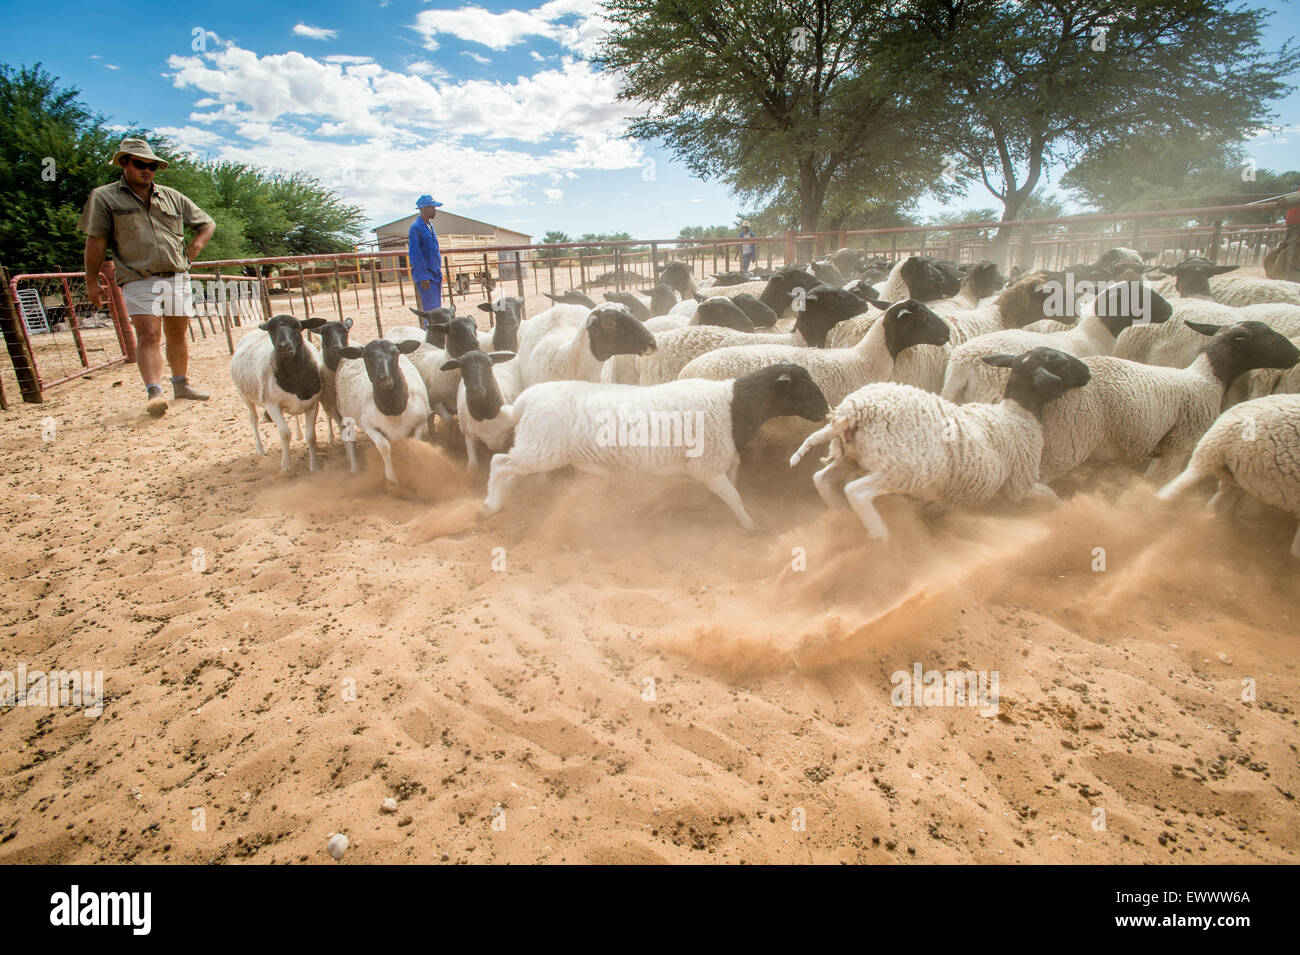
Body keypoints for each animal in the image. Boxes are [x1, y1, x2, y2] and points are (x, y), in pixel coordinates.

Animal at [230, 314, 329, 473]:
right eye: (271, 329)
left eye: (298, 327)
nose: (283, 347)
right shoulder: (272, 405)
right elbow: (284, 433)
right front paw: (286, 467)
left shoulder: (313, 404)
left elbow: (311, 436)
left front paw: (314, 466)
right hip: (243, 395)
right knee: (253, 419)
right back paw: (260, 448)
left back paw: (299, 434)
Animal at [334, 338, 430, 483]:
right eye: (365, 356)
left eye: (395, 353)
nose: (382, 378)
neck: (393, 410)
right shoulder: (370, 427)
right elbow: (384, 447)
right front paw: (392, 479)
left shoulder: (420, 421)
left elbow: (413, 445)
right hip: (345, 413)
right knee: (349, 438)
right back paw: (354, 468)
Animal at [481, 362, 830, 530]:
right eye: (802, 387)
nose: (827, 410)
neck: (733, 406)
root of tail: (527, 399)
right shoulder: (707, 467)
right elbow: (734, 497)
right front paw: (750, 526)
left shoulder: (726, 463)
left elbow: (734, 493)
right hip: (542, 449)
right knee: (499, 463)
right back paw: (490, 505)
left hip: (536, 448)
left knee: (509, 468)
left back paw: (500, 497)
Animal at [789, 347, 1092, 539]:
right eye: (1058, 361)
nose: (1087, 371)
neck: (1018, 414)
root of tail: (856, 410)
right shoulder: (1019, 484)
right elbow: (1049, 495)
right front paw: (1061, 512)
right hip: (904, 468)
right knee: (857, 491)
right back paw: (880, 536)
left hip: (853, 456)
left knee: (823, 479)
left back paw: (842, 515)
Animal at [1035, 321, 1300, 485]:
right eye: (1268, 337)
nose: (1296, 354)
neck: (1206, 378)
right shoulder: (1179, 447)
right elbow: (1160, 482)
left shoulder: (1162, 449)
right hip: (1067, 446)